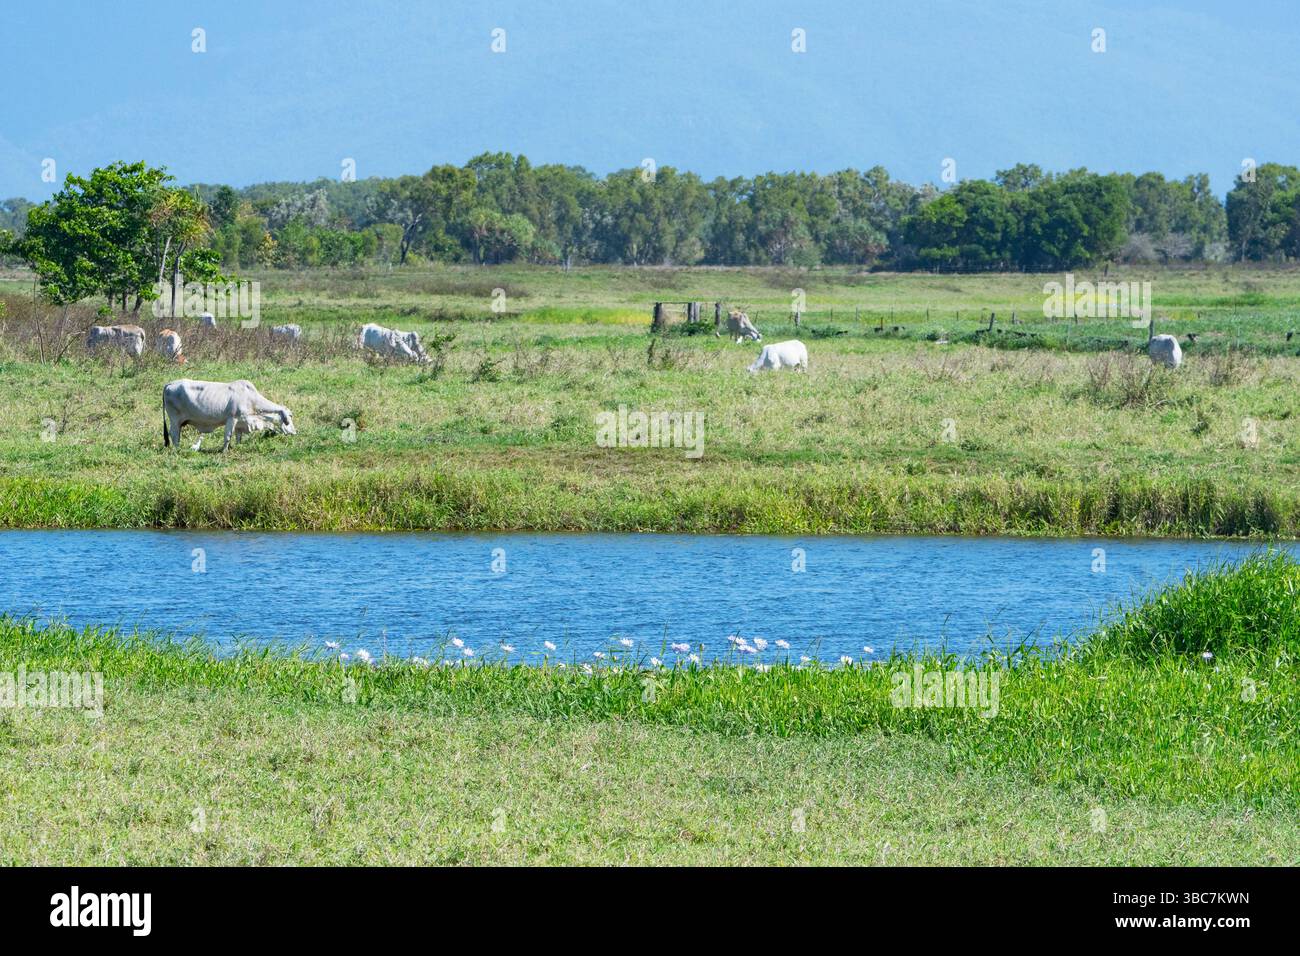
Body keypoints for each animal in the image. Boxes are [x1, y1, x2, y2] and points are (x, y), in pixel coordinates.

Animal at [162, 379, 296, 452]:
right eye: (290, 416)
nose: (295, 432)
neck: (250, 398)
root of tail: (170, 383)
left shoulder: (240, 422)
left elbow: (238, 437)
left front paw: (237, 447)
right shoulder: (232, 418)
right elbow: (228, 436)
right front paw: (224, 450)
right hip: (175, 419)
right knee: (174, 434)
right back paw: (177, 449)